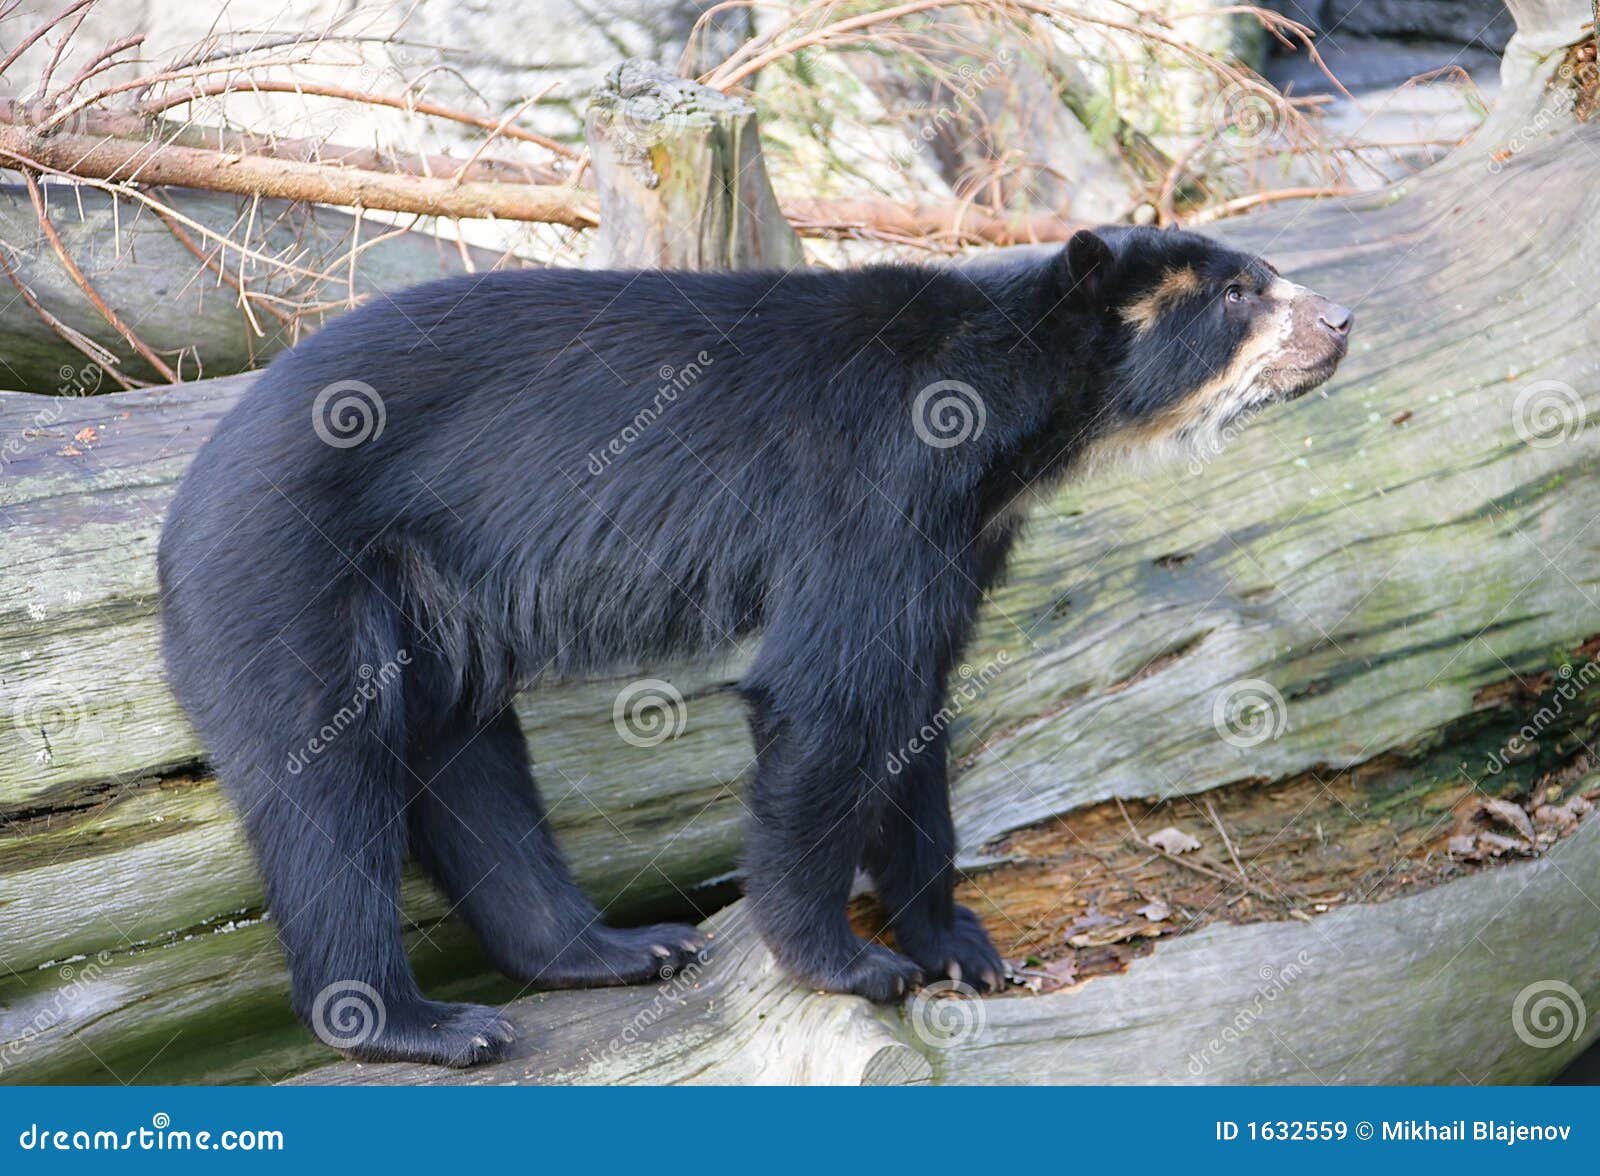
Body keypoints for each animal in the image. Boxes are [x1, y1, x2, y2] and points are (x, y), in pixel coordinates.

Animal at [156, 227, 1352, 1066]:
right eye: (1241, 290)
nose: (1340, 319)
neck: (1007, 433)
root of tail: (195, 479)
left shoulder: (957, 537)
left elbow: (913, 703)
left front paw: (957, 943)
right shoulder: (875, 484)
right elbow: (829, 696)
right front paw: (850, 964)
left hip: (433, 600)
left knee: (465, 758)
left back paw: (612, 948)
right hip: (288, 569)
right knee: (325, 782)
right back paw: (423, 1022)